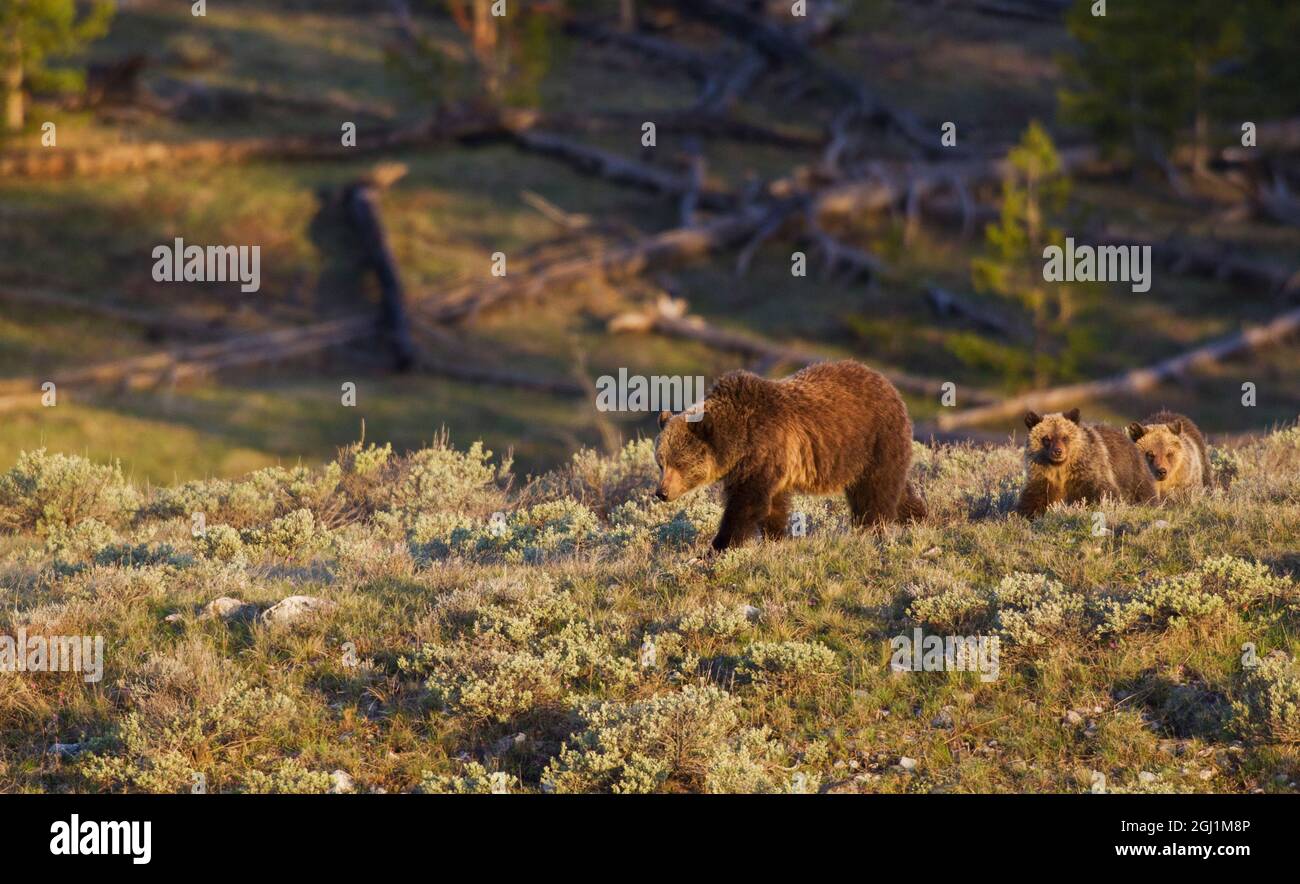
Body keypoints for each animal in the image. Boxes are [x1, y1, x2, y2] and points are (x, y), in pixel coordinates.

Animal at [653, 360, 924, 552]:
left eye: (680, 463)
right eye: (661, 463)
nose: (662, 492)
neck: (739, 439)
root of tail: (887, 383)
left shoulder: (764, 451)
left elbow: (746, 504)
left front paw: (718, 546)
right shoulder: (771, 466)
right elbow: (773, 506)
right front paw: (774, 538)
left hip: (874, 439)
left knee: (876, 490)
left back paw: (872, 529)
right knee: (896, 489)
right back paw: (918, 517)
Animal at [1015, 408, 1156, 518]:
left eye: (1064, 437)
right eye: (1046, 438)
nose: (1058, 452)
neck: (1060, 468)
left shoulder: (1087, 471)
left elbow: (1103, 492)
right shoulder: (1044, 477)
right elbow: (1033, 497)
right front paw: (1026, 514)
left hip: (1132, 471)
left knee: (1142, 491)